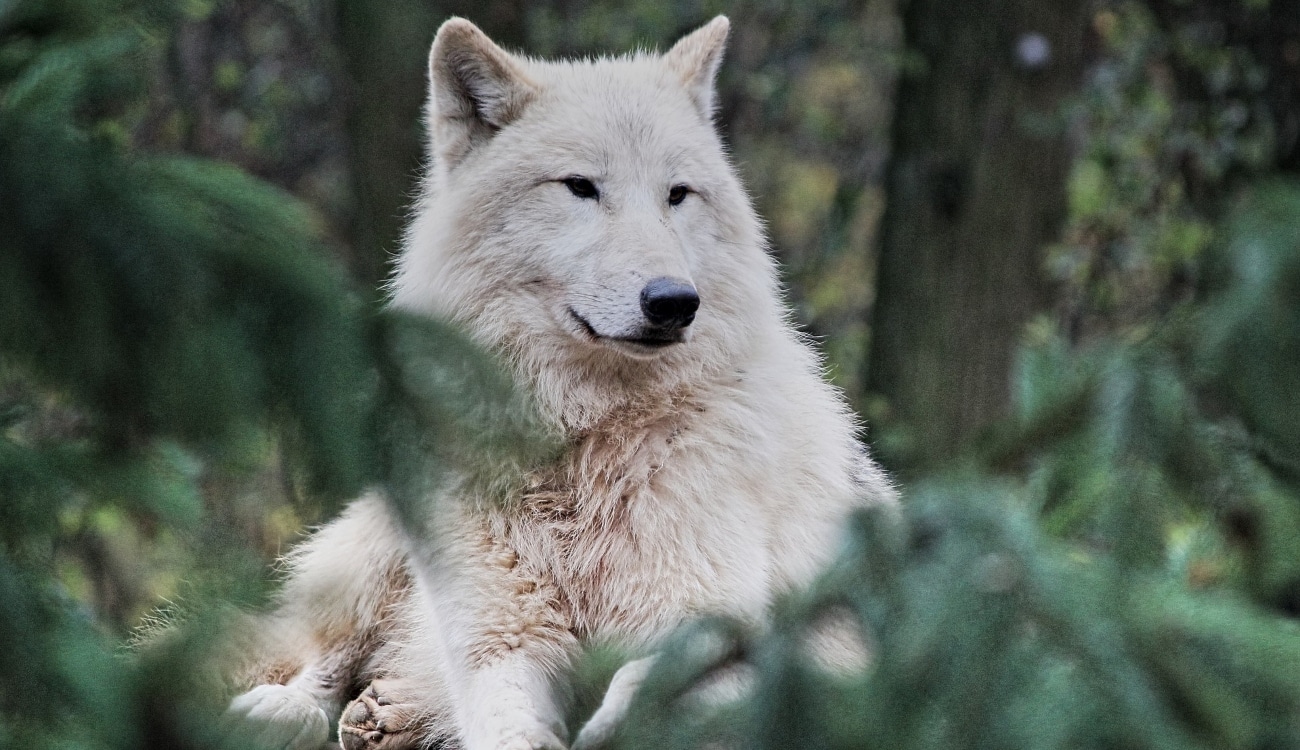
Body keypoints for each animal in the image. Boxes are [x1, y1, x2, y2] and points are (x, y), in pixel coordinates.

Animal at [223, 15, 896, 750]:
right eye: (581, 187)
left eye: (677, 194)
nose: (674, 301)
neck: (583, 444)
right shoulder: (500, 637)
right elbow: (503, 718)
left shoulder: (713, 627)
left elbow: (643, 690)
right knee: (324, 661)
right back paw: (297, 712)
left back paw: (385, 715)